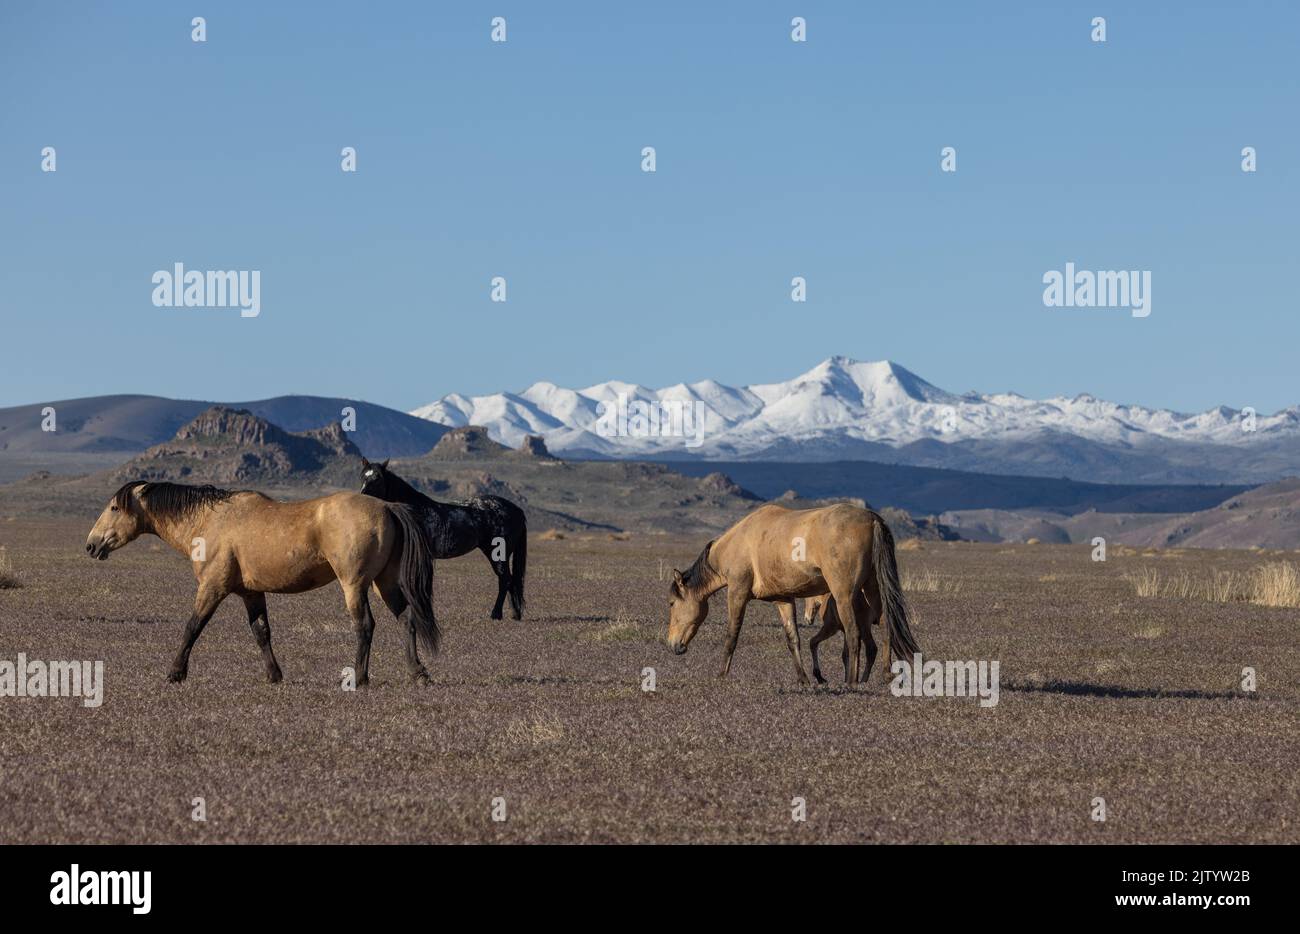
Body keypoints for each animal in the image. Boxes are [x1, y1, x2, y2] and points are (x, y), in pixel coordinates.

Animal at [84, 481, 441, 686]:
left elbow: (192, 627)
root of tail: (388, 507)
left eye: (114, 507)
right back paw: (418, 673)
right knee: (407, 620)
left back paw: (360, 677)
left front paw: (175, 673)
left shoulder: (212, 587)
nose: (91, 545)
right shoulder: (250, 593)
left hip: (354, 585)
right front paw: (274, 675)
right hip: (385, 584)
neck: (209, 521)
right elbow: (261, 632)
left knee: (365, 626)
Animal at [359, 458, 527, 620]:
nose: (363, 497)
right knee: (510, 581)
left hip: (497, 553)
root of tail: (517, 510)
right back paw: (515, 614)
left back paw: (496, 614)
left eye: (378, 478)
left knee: (505, 579)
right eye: (363, 477)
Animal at [666, 502, 920, 685]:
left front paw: (721, 675)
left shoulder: (737, 593)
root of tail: (873, 519)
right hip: (872, 590)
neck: (738, 541)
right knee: (886, 627)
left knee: (853, 634)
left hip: (844, 596)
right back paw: (885, 676)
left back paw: (851, 682)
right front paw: (804, 679)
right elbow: (793, 639)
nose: (673, 645)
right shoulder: (784, 600)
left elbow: (731, 636)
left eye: (671, 603)